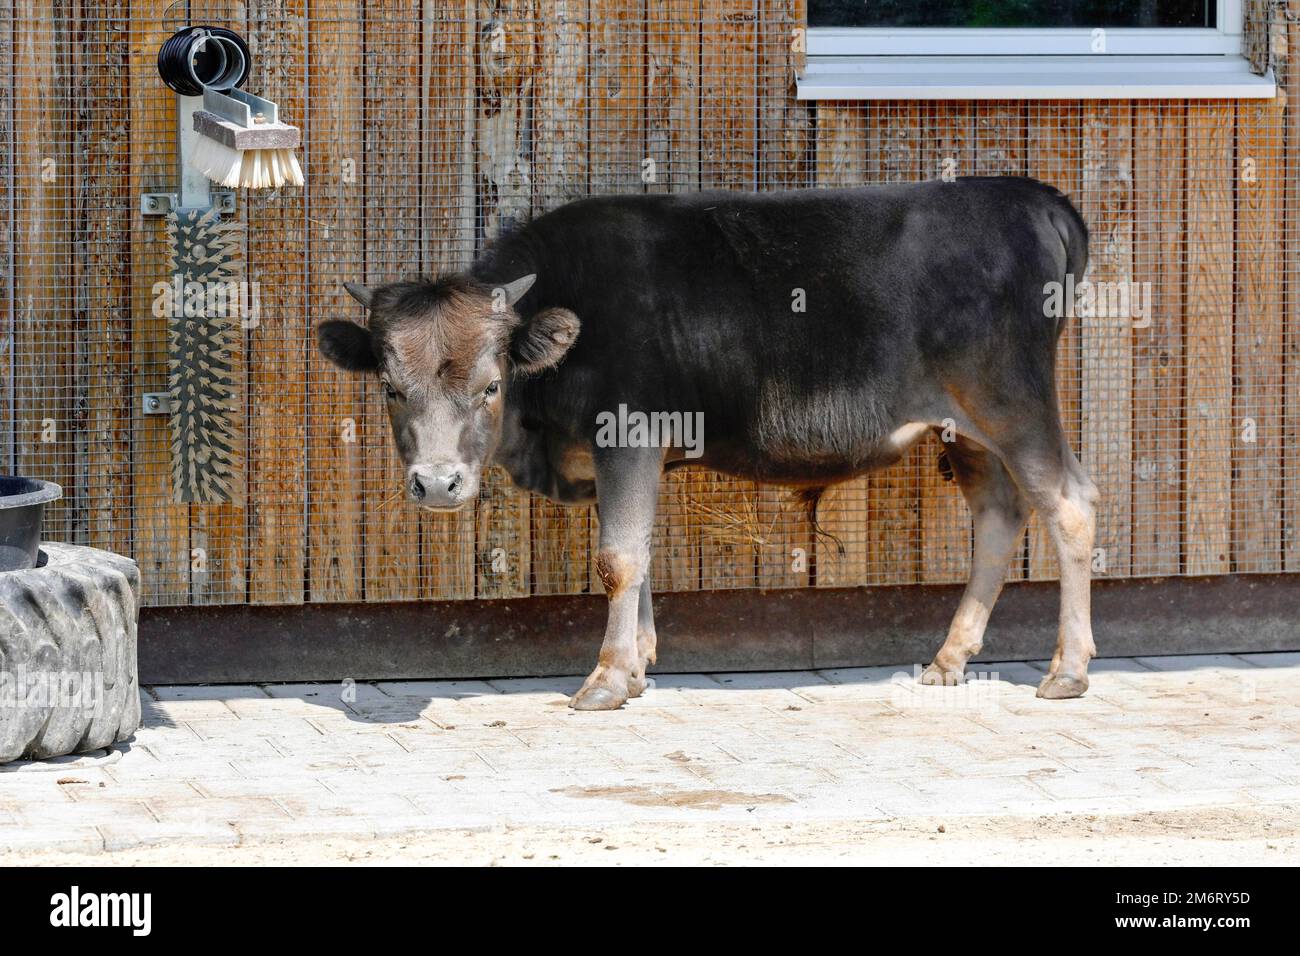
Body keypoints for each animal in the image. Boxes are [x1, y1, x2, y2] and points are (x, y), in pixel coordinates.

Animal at [317, 177, 1099, 711]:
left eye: (490, 385)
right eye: (390, 387)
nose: (438, 483)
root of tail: (1027, 196)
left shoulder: (628, 431)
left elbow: (617, 559)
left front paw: (607, 679)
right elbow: (639, 554)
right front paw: (637, 666)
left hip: (1012, 401)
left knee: (1070, 505)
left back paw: (1067, 670)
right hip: (964, 426)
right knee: (1000, 515)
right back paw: (948, 659)